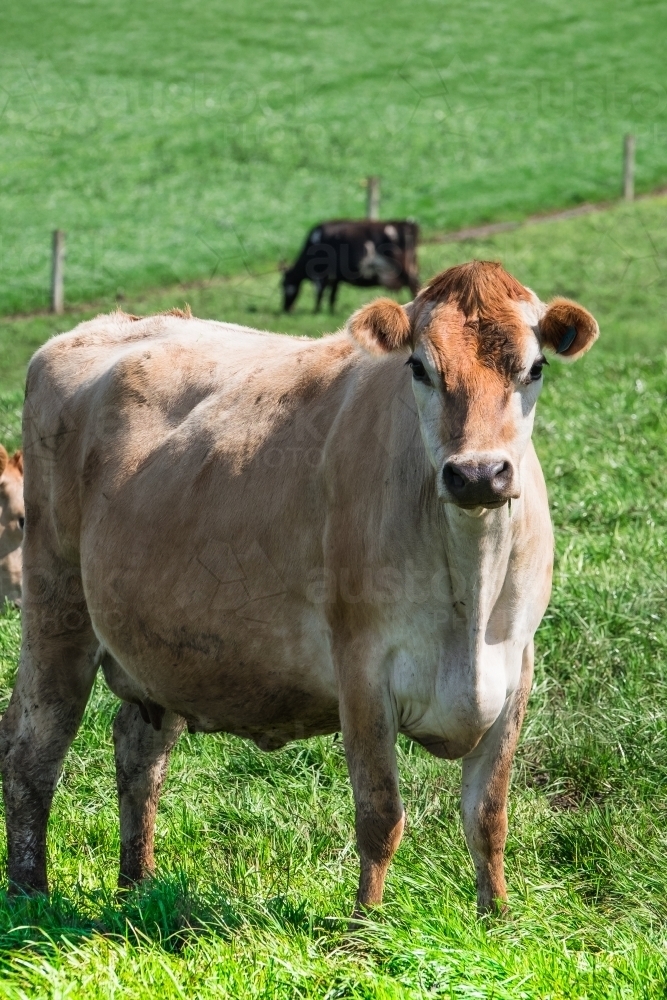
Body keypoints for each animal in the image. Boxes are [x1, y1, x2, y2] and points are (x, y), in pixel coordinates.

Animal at [0, 262, 599, 917]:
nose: (477, 474)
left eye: (535, 368)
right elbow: (380, 815)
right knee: (33, 751)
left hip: (160, 645)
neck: (471, 596)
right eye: (419, 367)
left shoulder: (516, 668)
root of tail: (106, 325)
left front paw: (496, 919)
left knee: (138, 749)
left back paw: (140, 885)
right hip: (55, 605)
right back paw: (30, 896)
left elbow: (488, 817)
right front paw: (367, 925)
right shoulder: (362, 669)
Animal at [282, 219, 420, 313]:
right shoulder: (335, 277)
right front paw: (331, 311)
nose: (286, 309)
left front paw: (316, 311)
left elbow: (319, 294)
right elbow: (333, 295)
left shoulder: (320, 275)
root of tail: (407, 224)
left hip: (404, 268)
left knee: (413, 285)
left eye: (283, 285)